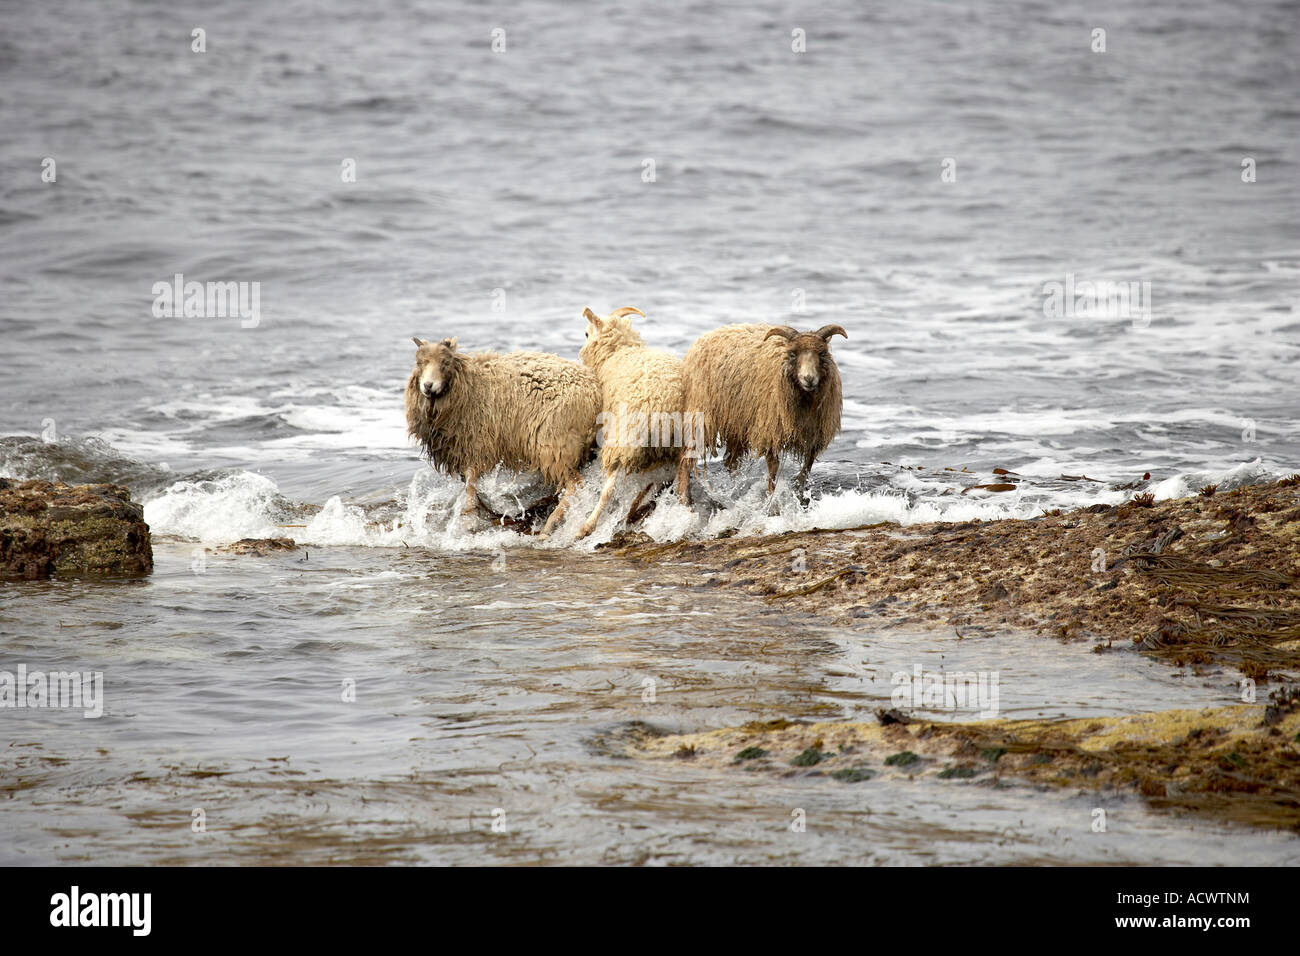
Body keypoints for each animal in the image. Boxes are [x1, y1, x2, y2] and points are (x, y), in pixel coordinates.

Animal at [404, 337, 600, 536]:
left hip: (555, 447)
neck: (470, 384)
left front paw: (468, 521)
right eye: (419, 363)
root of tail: (595, 394)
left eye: (445, 363)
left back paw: (551, 524)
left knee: (576, 485)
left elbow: (470, 488)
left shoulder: (476, 445)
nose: (428, 386)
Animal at [576, 306, 693, 539]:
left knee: (608, 490)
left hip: (622, 438)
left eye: (586, 333)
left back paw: (587, 526)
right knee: (683, 485)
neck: (618, 351)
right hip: (683, 445)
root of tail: (666, 402)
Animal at [676, 323, 847, 499]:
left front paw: (799, 491)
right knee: (686, 458)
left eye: (822, 353)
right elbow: (773, 470)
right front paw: (771, 497)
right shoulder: (770, 431)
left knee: (731, 462)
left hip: (737, 425)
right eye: (792, 354)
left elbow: (806, 468)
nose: (809, 378)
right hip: (700, 415)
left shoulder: (814, 437)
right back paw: (684, 497)